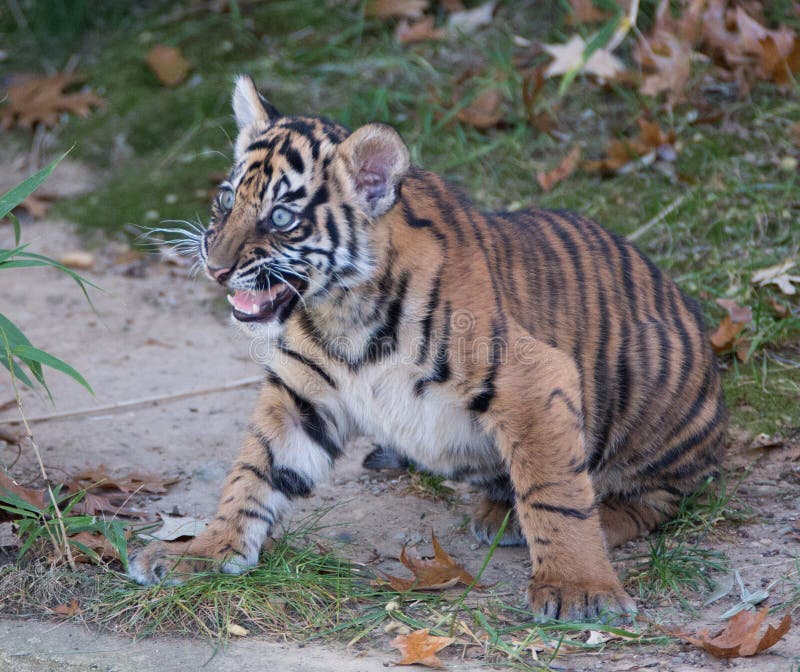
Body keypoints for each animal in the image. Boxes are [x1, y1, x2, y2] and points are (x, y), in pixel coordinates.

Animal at [129, 75, 727, 622]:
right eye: (226, 200)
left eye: (280, 217)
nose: (215, 267)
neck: (342, 310)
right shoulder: (302, 397)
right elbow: (254, 473)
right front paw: (202, 553)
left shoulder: (535, 379)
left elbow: (556, 494)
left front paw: (579, 587)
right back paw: (498, 514)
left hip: (653, 408)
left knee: (657, 496)